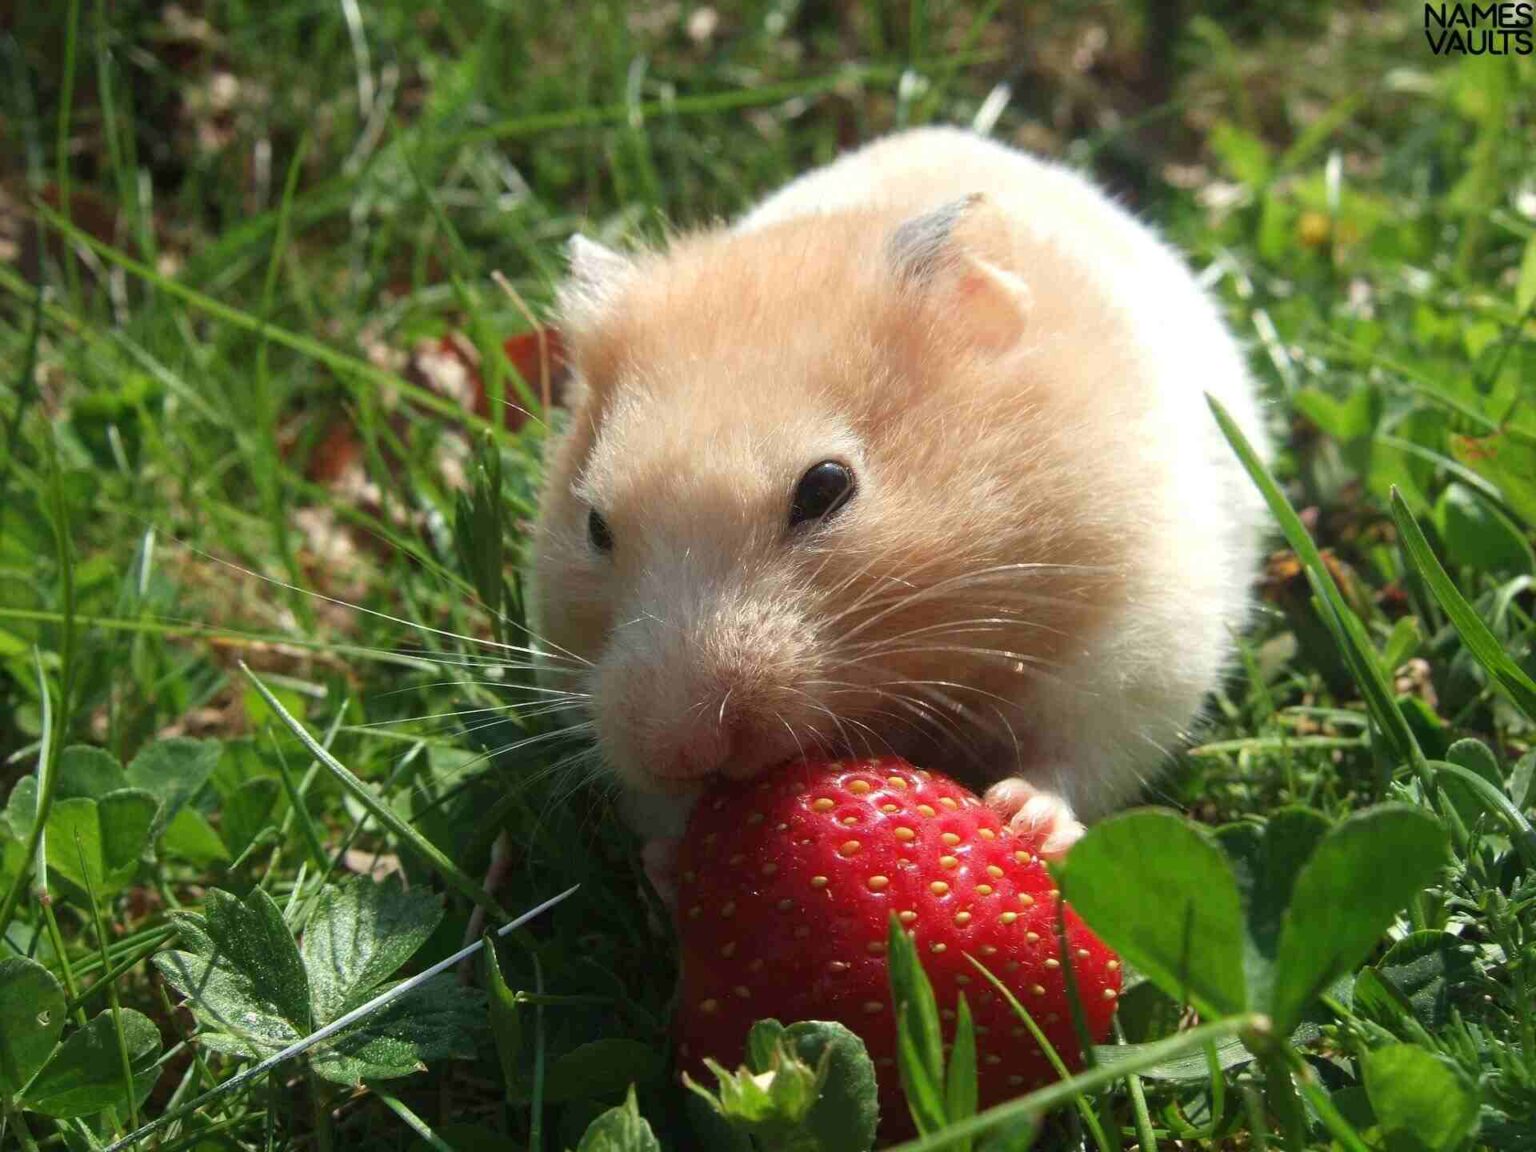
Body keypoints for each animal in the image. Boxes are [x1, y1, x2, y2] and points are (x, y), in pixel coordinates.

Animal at [532, 126, 1268, 870]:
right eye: (595, 525)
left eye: (826, 487)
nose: (681, 751)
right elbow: (657, 812)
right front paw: (669, 857)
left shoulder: (1139, 643)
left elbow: (1078, 755)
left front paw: (1021, 817)